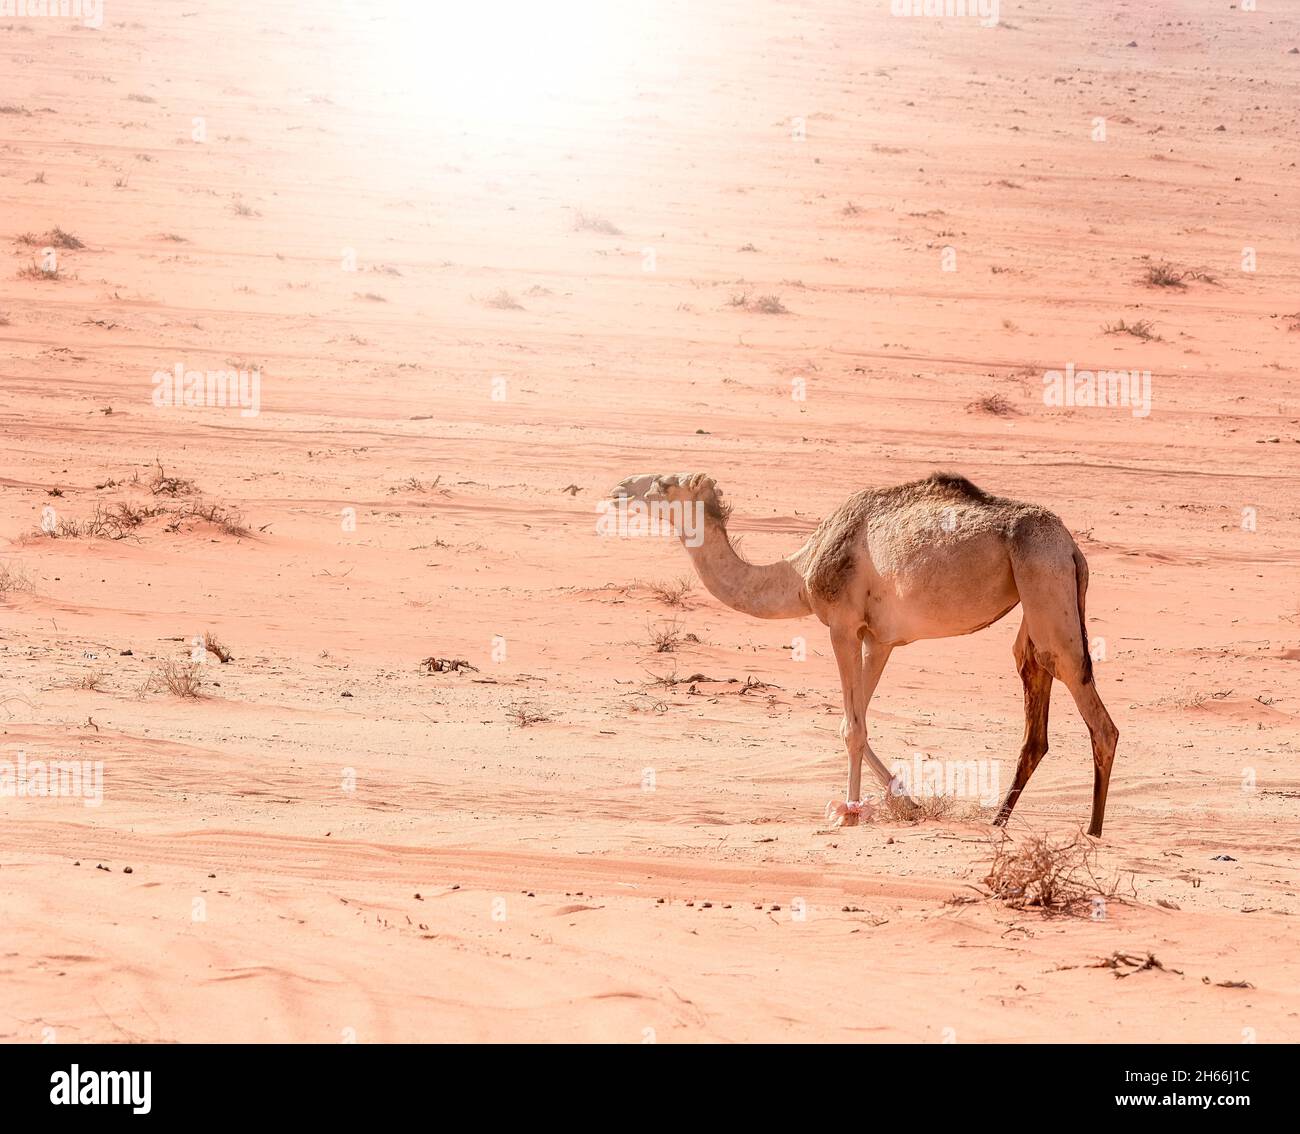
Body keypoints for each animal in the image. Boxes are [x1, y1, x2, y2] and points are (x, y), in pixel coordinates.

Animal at [610, 471, 1118, 836]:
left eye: (662, 484)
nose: (618, 489)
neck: (801, 572)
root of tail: (1073, 548)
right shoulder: (880, 639)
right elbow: (850, 722)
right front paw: (906, 802)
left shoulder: (841, 626)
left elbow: (852, 728)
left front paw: (850, 812)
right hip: (1039, 594)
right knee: (1034, 683)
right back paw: (1000, 819)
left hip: (1044, 576)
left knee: (1089, 706)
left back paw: (1092, 832)